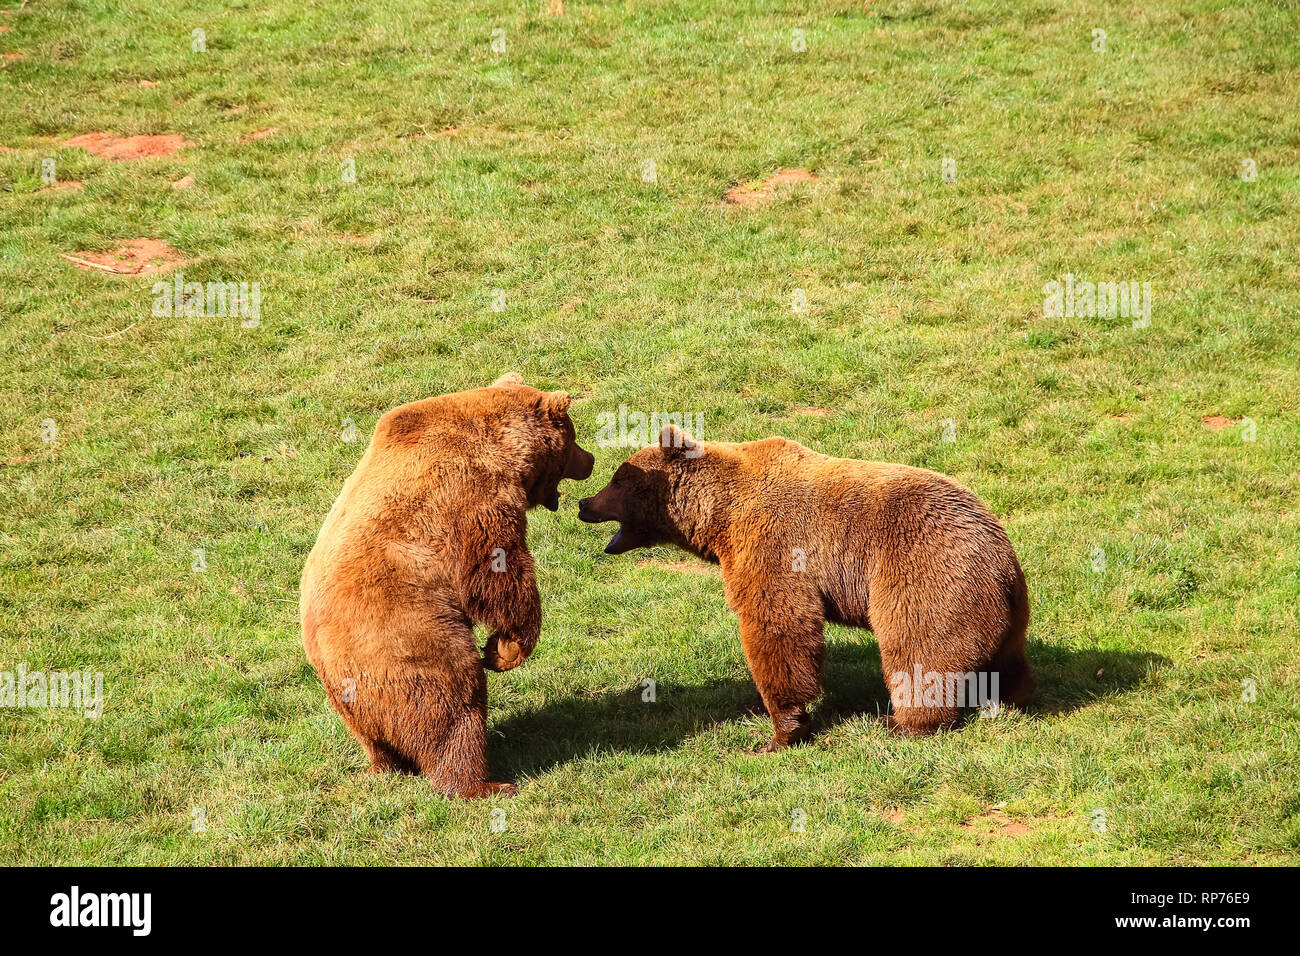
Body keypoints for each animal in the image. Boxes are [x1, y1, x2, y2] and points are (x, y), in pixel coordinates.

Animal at [300, 373, 594, 797]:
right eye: (572, 437)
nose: (590, 460)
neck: (505, 452)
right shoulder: (470, 495)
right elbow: (498, 574)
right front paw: (506, 649)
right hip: (411, 644)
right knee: (454, 707)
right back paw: (484, 783)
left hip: (353, 706)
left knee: (380, 743)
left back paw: (386, 766)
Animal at [577, 424, 1031, 751]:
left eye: (617, 479)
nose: (584, 503)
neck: (720, 516)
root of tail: (1001, 557)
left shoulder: (772, 545)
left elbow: (778, 625)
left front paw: (779, 733)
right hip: (1005, 610)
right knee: (1006, 660)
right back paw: (1008, 699)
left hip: (925, 576)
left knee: (918, 650)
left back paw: (902, 723)